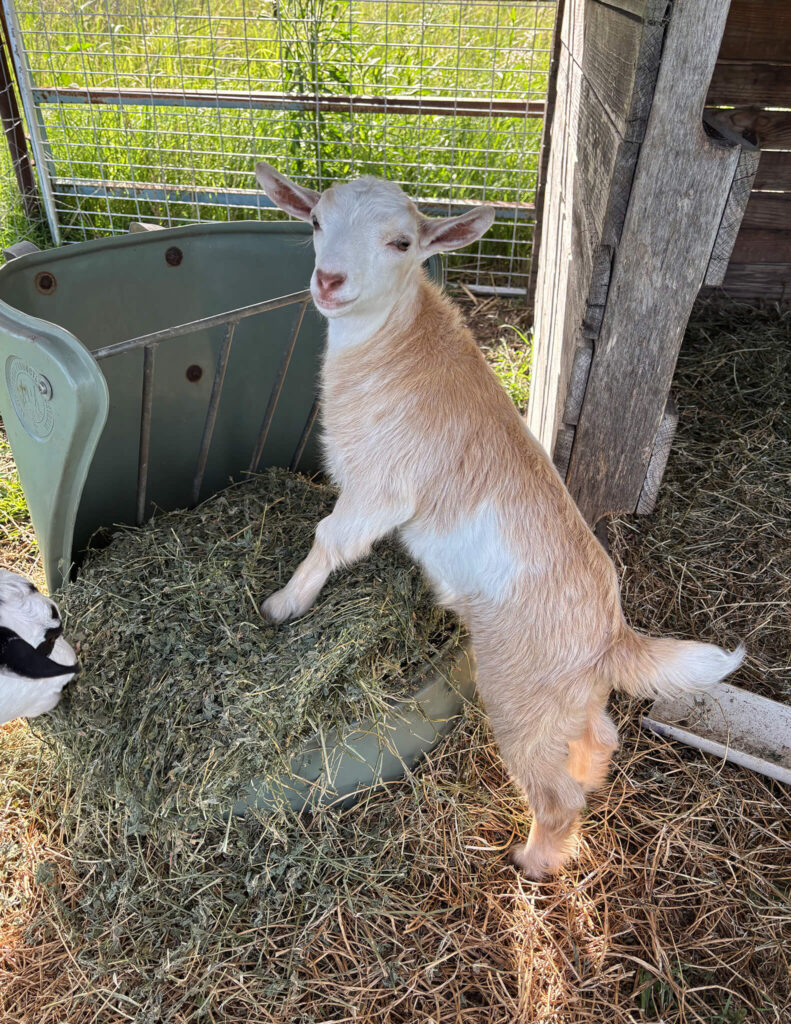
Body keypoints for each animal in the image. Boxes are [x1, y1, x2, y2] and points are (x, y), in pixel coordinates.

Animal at [254, 164, 744, 879]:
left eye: (402, 243)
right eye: (316, 221)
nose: (330, 282)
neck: (397, 347)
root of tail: (613, 634)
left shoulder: (382, 486)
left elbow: (330, 539)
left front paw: (284, 605)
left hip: (521, 694)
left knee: (555, 791)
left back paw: (534, 860)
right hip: (570, 697)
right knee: (599, 736)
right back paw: (590, 781)